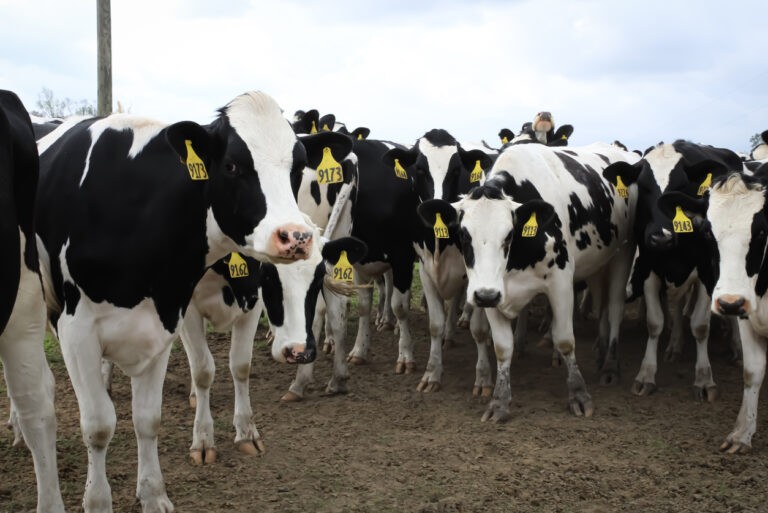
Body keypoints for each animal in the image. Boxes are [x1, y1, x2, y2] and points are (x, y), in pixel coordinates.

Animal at [35, 91, 317, 512]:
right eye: (232, 165)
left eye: (296, 167)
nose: (295, 236)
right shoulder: (75, 331)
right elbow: (99, 425)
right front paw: (98, 499)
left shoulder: (164, 318)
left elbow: (148, 418)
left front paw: (153, 494)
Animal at [419, 141, 640, 421]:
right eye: (463, 235)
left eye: (508, 235)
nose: (485, 296)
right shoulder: (493, 290)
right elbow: (502, 348)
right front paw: (499, 402)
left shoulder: (560, 282)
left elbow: (565, 339)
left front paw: (579, 394)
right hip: (597, 264)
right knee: (601, 305)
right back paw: (600, 354)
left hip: (624, 252)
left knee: (614, 308)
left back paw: (610, 365)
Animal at [602, 140, 744, 400]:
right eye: (643, 188)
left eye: (680, 187)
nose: (661, 237)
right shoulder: (649, 268)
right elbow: (655, 322)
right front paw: (646, 374)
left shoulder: (707, 273)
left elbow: (700, 326)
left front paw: (704, 379)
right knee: (678, 304)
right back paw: (675, 346)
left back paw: (737, 349)